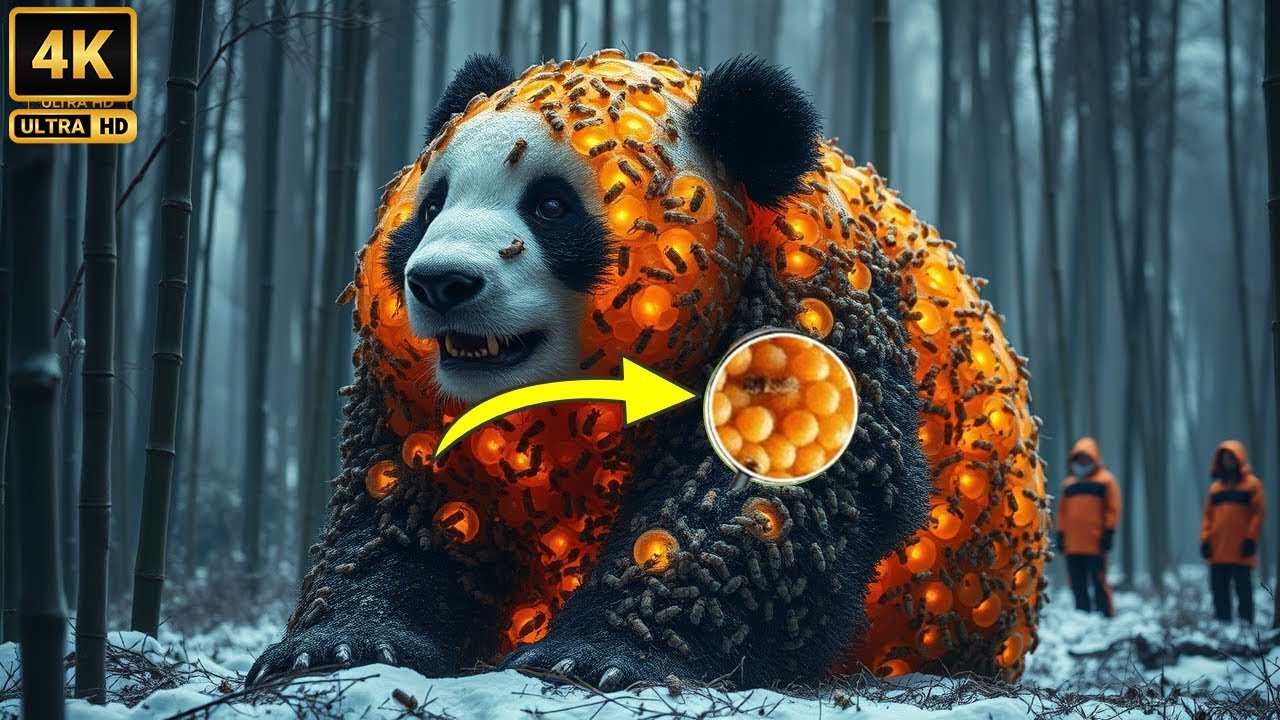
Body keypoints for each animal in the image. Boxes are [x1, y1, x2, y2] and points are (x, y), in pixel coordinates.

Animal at [247, 51, 1049, 690]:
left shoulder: (807, 298)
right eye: (432, 202)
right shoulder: (417, 395)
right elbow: (406, 505)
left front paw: (593, 655)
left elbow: (763, 497)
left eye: (550, 206)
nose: (442, 282)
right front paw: (335, 644)